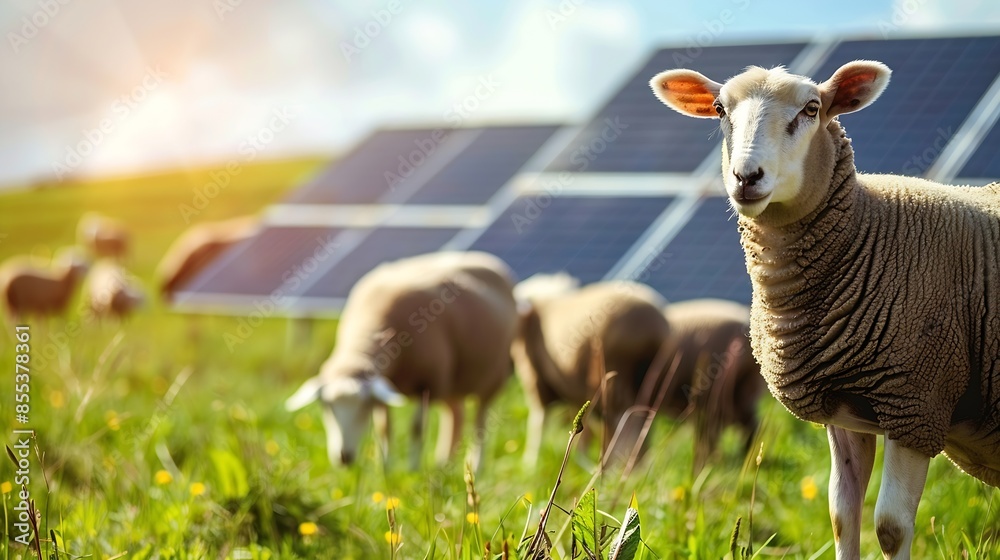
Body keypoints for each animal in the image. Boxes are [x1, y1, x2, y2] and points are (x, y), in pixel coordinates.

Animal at [285, 251, 518, 470]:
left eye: (363, 409)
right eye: (326, 407)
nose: (344, 458)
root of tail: (484, 259)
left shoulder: (428, 383)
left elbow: (417, 429)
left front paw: (413, 470)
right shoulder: (385, 389)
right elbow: (384, 429)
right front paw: (385, 469)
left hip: (492, 378)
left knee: (480, 422)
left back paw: (475, 467)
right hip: (452, 382)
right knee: (455, 415)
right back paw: (443, 465)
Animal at [512, 274, 672, 468]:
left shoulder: (537, 379)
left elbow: (538, 421)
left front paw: (531, 463)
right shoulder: (576, 388)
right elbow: (582, 426)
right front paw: (578, 457)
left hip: (613, 381)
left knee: (621, 427)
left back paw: (612, 468)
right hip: (652, 382)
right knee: (641, 425)